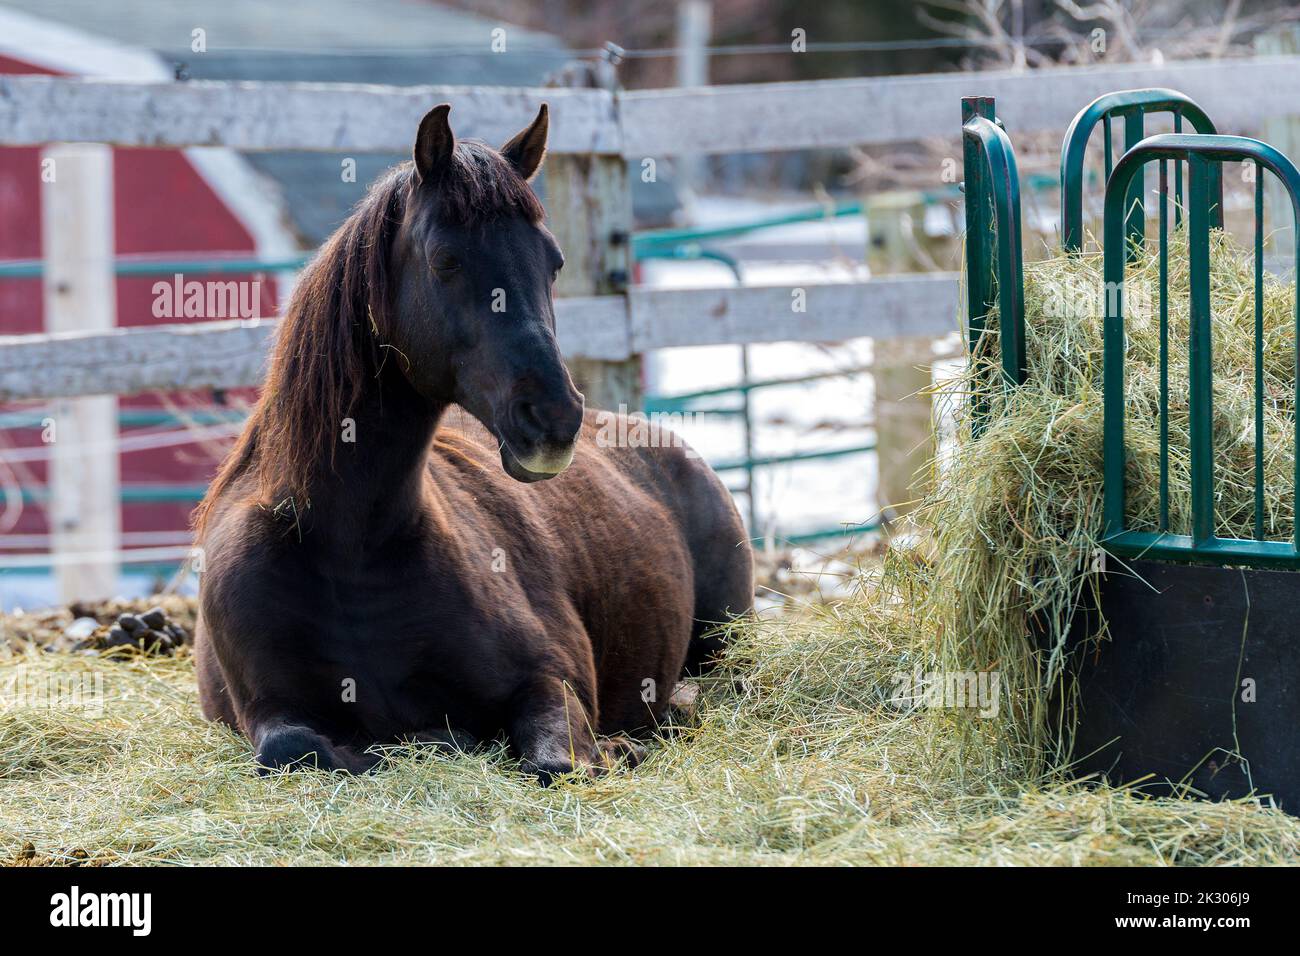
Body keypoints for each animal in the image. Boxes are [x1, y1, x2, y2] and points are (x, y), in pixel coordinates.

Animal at [191, 103, 754, 780]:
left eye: (553, 262)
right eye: (445, 260)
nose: (554, 416)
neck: (351, 547)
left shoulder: (549, 677)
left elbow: (554, 760)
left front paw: (616, 746)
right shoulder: (267, 710)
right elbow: (294, 748)